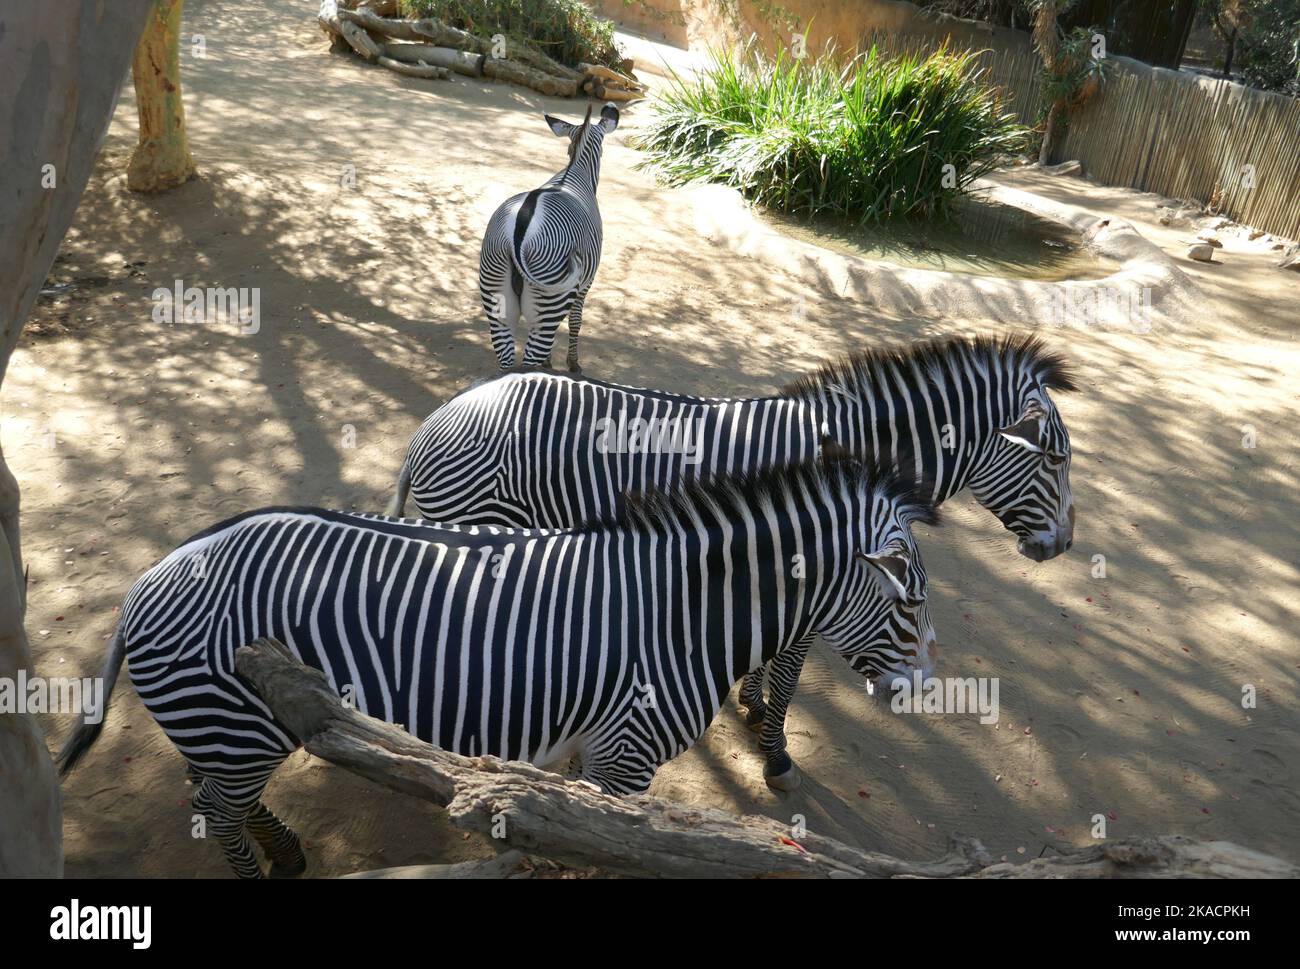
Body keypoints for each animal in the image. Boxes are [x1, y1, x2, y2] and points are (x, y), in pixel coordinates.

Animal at [56, 453, 940, 879]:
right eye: (911, 605)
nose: (927, 693)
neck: (685, 611)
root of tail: (155, 569)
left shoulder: (596, 748)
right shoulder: (628, 751)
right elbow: (607, 847)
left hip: (230, 725)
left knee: (209, 792)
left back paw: (287, 850)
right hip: (232, 725)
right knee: (213, 805)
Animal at [389, 333, 1077, 789]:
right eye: (1055, 459)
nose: (1064, 547)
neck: (848, 449)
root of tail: (439, 416)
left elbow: (768, 662)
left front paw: (748, 699)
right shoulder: (815, 583)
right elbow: (790, 679)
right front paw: (775, 752)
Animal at [479, 102, 618, 373]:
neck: (574, 174)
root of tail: (517, 234)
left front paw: (550, 360)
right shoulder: (585, 284)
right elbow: (576, 321)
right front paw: (572, 363)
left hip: (497, 299)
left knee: (506, 362)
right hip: (550, 296)